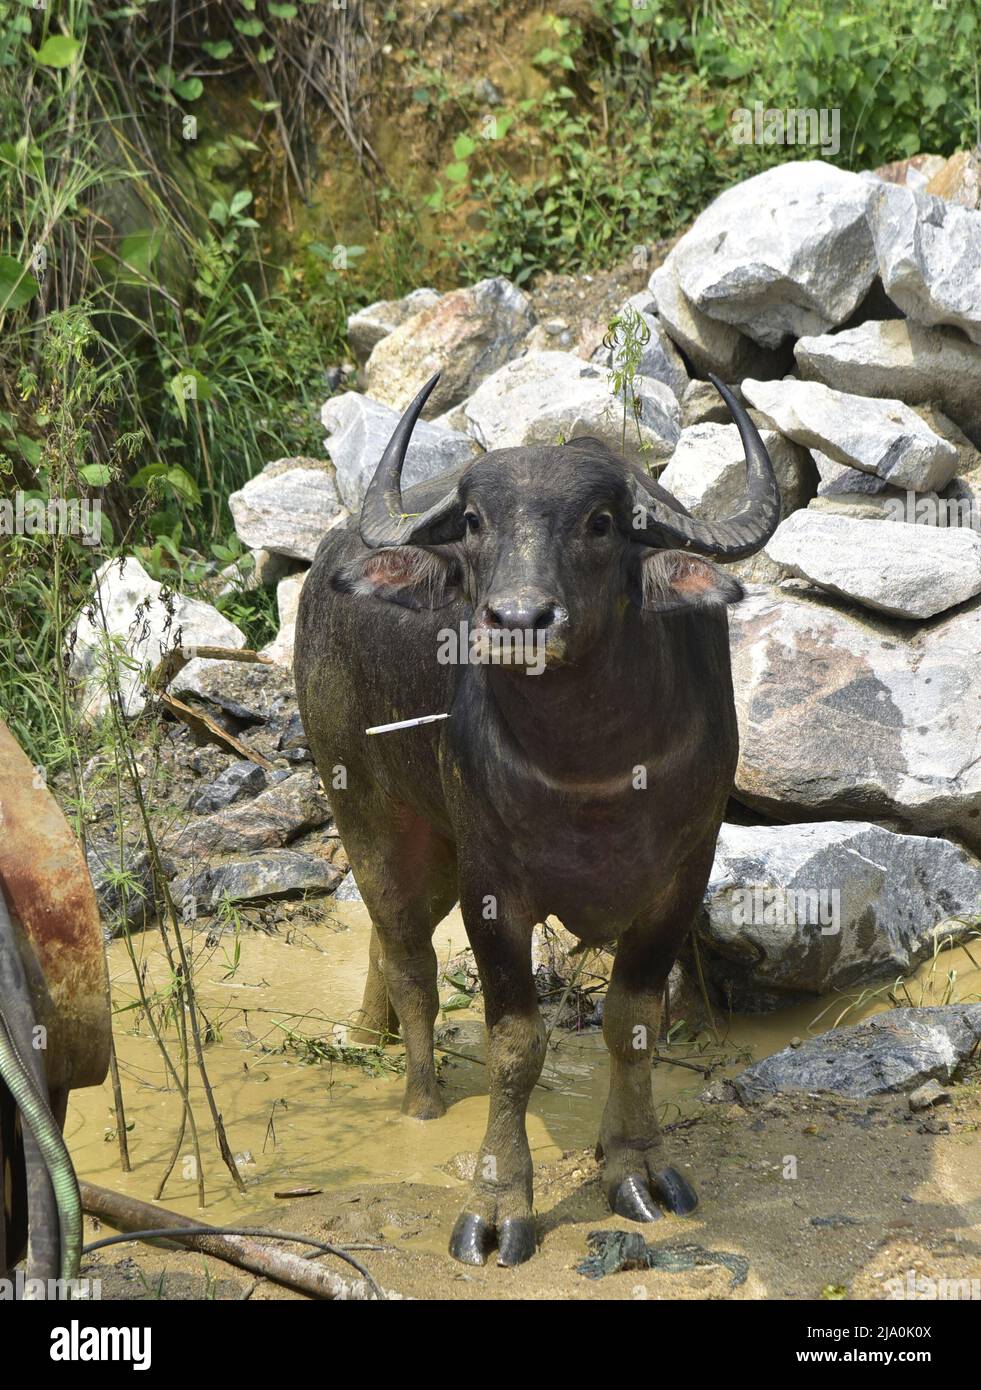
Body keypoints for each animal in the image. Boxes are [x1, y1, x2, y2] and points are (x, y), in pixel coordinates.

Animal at [295, 372, 780, 1266]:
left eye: (599, 522)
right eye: (474, 522)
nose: (518, 621)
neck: (590, 773)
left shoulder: (682, 874)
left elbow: (631, 1024)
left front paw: (634, 1166)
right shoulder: (494, 889)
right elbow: (514, 1046)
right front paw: (496, 1204)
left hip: (439, 844)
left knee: (387, 940)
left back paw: (372, 1034)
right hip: (365, 807)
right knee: (408, 953)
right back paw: (418, 1096)